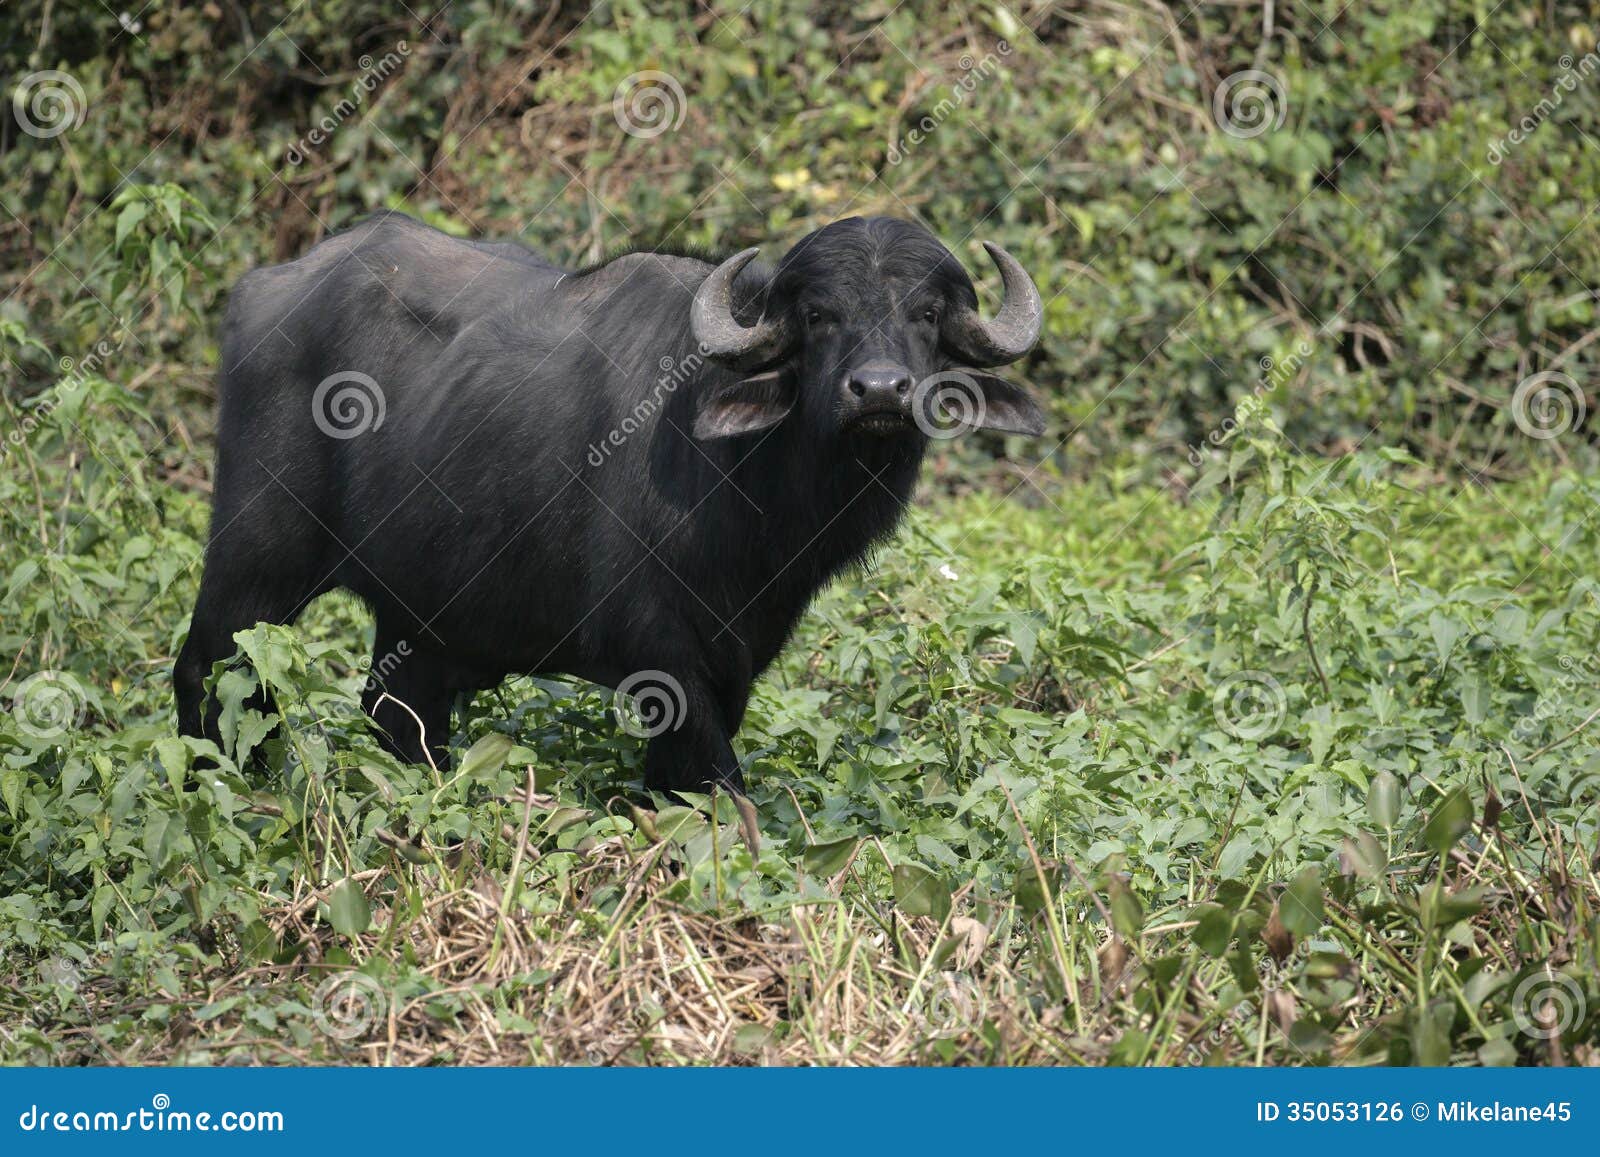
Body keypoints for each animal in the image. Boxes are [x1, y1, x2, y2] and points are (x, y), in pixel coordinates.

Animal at [175, 212, 1045, 796]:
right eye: (818, 315)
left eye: (926, 315)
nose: (880, 391)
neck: (745, 487)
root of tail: (263, 289)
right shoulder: (661, 656)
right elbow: (714, 779)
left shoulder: (739, 657)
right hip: (256, 560)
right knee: (214, 671)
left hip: (415, 612)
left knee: (396, 709)